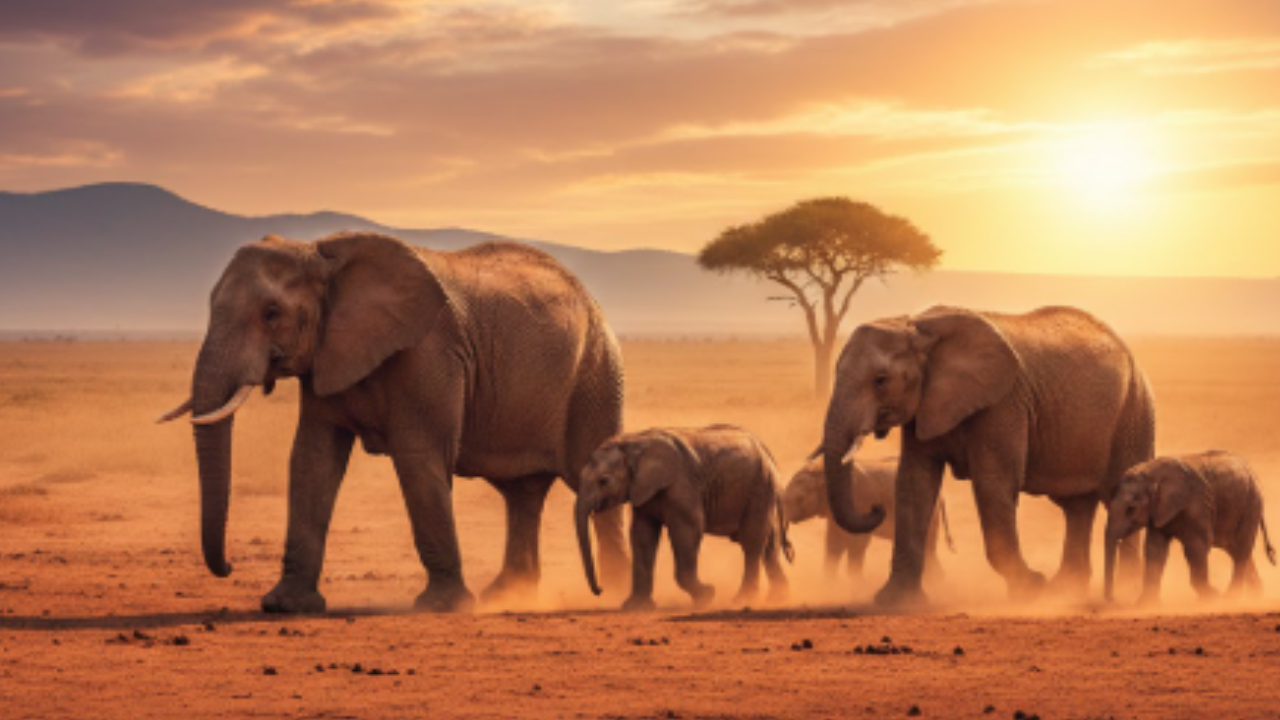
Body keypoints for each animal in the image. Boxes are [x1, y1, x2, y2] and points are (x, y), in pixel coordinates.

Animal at [158, 232, 629, 613]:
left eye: (271, 313)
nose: (229, 566)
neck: (321, 253)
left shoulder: (428, 356)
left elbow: (418, 458)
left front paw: (442, 607)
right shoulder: (328, 356)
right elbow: (312, 459)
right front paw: (284, 605)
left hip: (596, 374)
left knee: (589, 481)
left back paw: (616, 593)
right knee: (523, 495)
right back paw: (508, 596)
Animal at [575, 425, 794, 610]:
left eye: (603, 481)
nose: (600, 590)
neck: (632, 442)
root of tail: (766, 450)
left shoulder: (682, 486)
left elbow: (687, 531)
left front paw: (708, 596)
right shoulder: (643, 490)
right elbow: (642, 535)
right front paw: (634, 607)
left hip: (760, 487)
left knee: (751, 542)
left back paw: (742, 600)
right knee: (769, 545)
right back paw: (777, 599)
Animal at [782, 456, 953, 581]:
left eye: (799, 498)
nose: (791, 556)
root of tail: (942, 496)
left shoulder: (860, 501)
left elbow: (857, 543)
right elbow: (834, 543)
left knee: (928, 551)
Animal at [820, 305, 1155, 606]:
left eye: (880, 380)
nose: (875, 508)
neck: (917, 325)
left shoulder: (1002, 404)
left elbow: (993, 484)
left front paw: (1030, 589)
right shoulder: (924, 408)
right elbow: (914, 484)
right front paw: (895, 601)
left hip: (1135, 410)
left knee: (1115, 496)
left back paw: (1121, 590)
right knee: (1077, 508)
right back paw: (1066, 590)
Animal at [1104, 451, 1277, 603]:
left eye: (1130, 509)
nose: (1114, 600)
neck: (1151, 474)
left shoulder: (1197, 505)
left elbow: (1196, 547)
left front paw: (1212, 597)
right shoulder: (1159, 511)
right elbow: (1155, 549)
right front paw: (1145, 605)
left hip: (1251, 505)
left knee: (1241, 549)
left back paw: (1230, 598)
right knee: (1236, 550)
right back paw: (1255, 597)